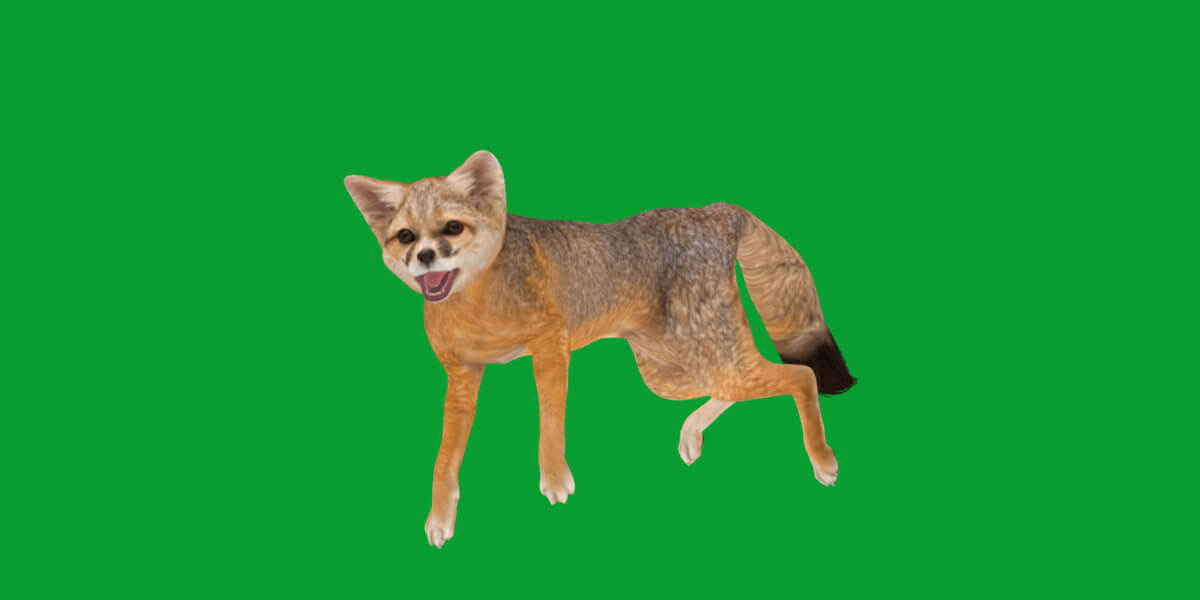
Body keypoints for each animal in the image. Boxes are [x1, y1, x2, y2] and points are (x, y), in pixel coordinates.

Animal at [344, 151, 855, 548]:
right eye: (406, 237)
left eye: (452, 228)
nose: (425, 257)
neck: (478, 303)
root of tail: (712, 209)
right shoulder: (463, 376)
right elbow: (444, 459)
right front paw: (440, 518)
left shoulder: (551, 347)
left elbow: (550, 423)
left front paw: (554, 479)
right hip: (673, 373)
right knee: (743, 387)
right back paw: (692, 431)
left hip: (707, 357)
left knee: (802, 376)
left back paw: (823, 459)